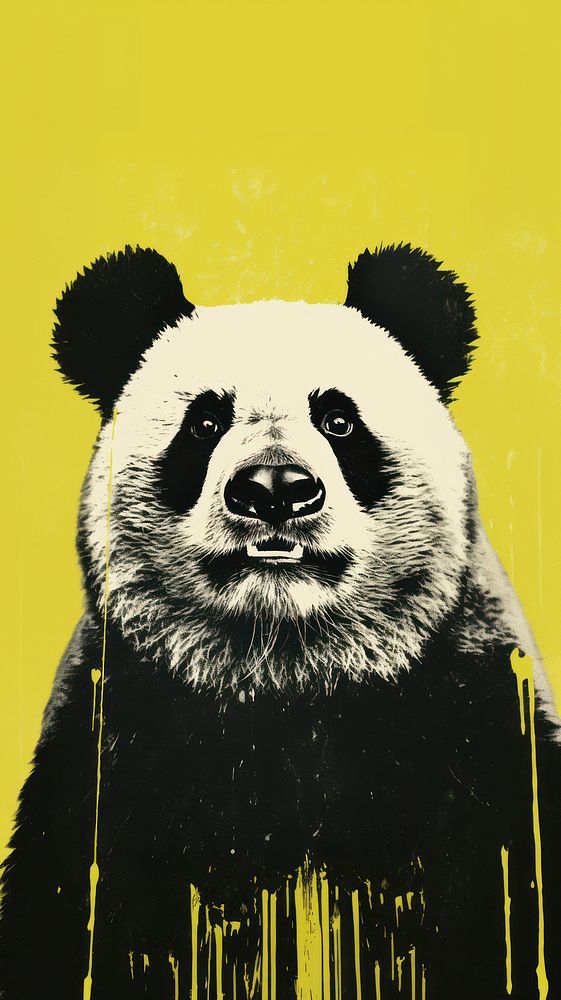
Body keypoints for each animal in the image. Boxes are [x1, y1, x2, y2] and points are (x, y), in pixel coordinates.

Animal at [1, 244, 560, 1000]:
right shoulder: (115, 744)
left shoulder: (473, 721)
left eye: (338, 420)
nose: (274, 489)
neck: (286, 671)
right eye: (204, 423)